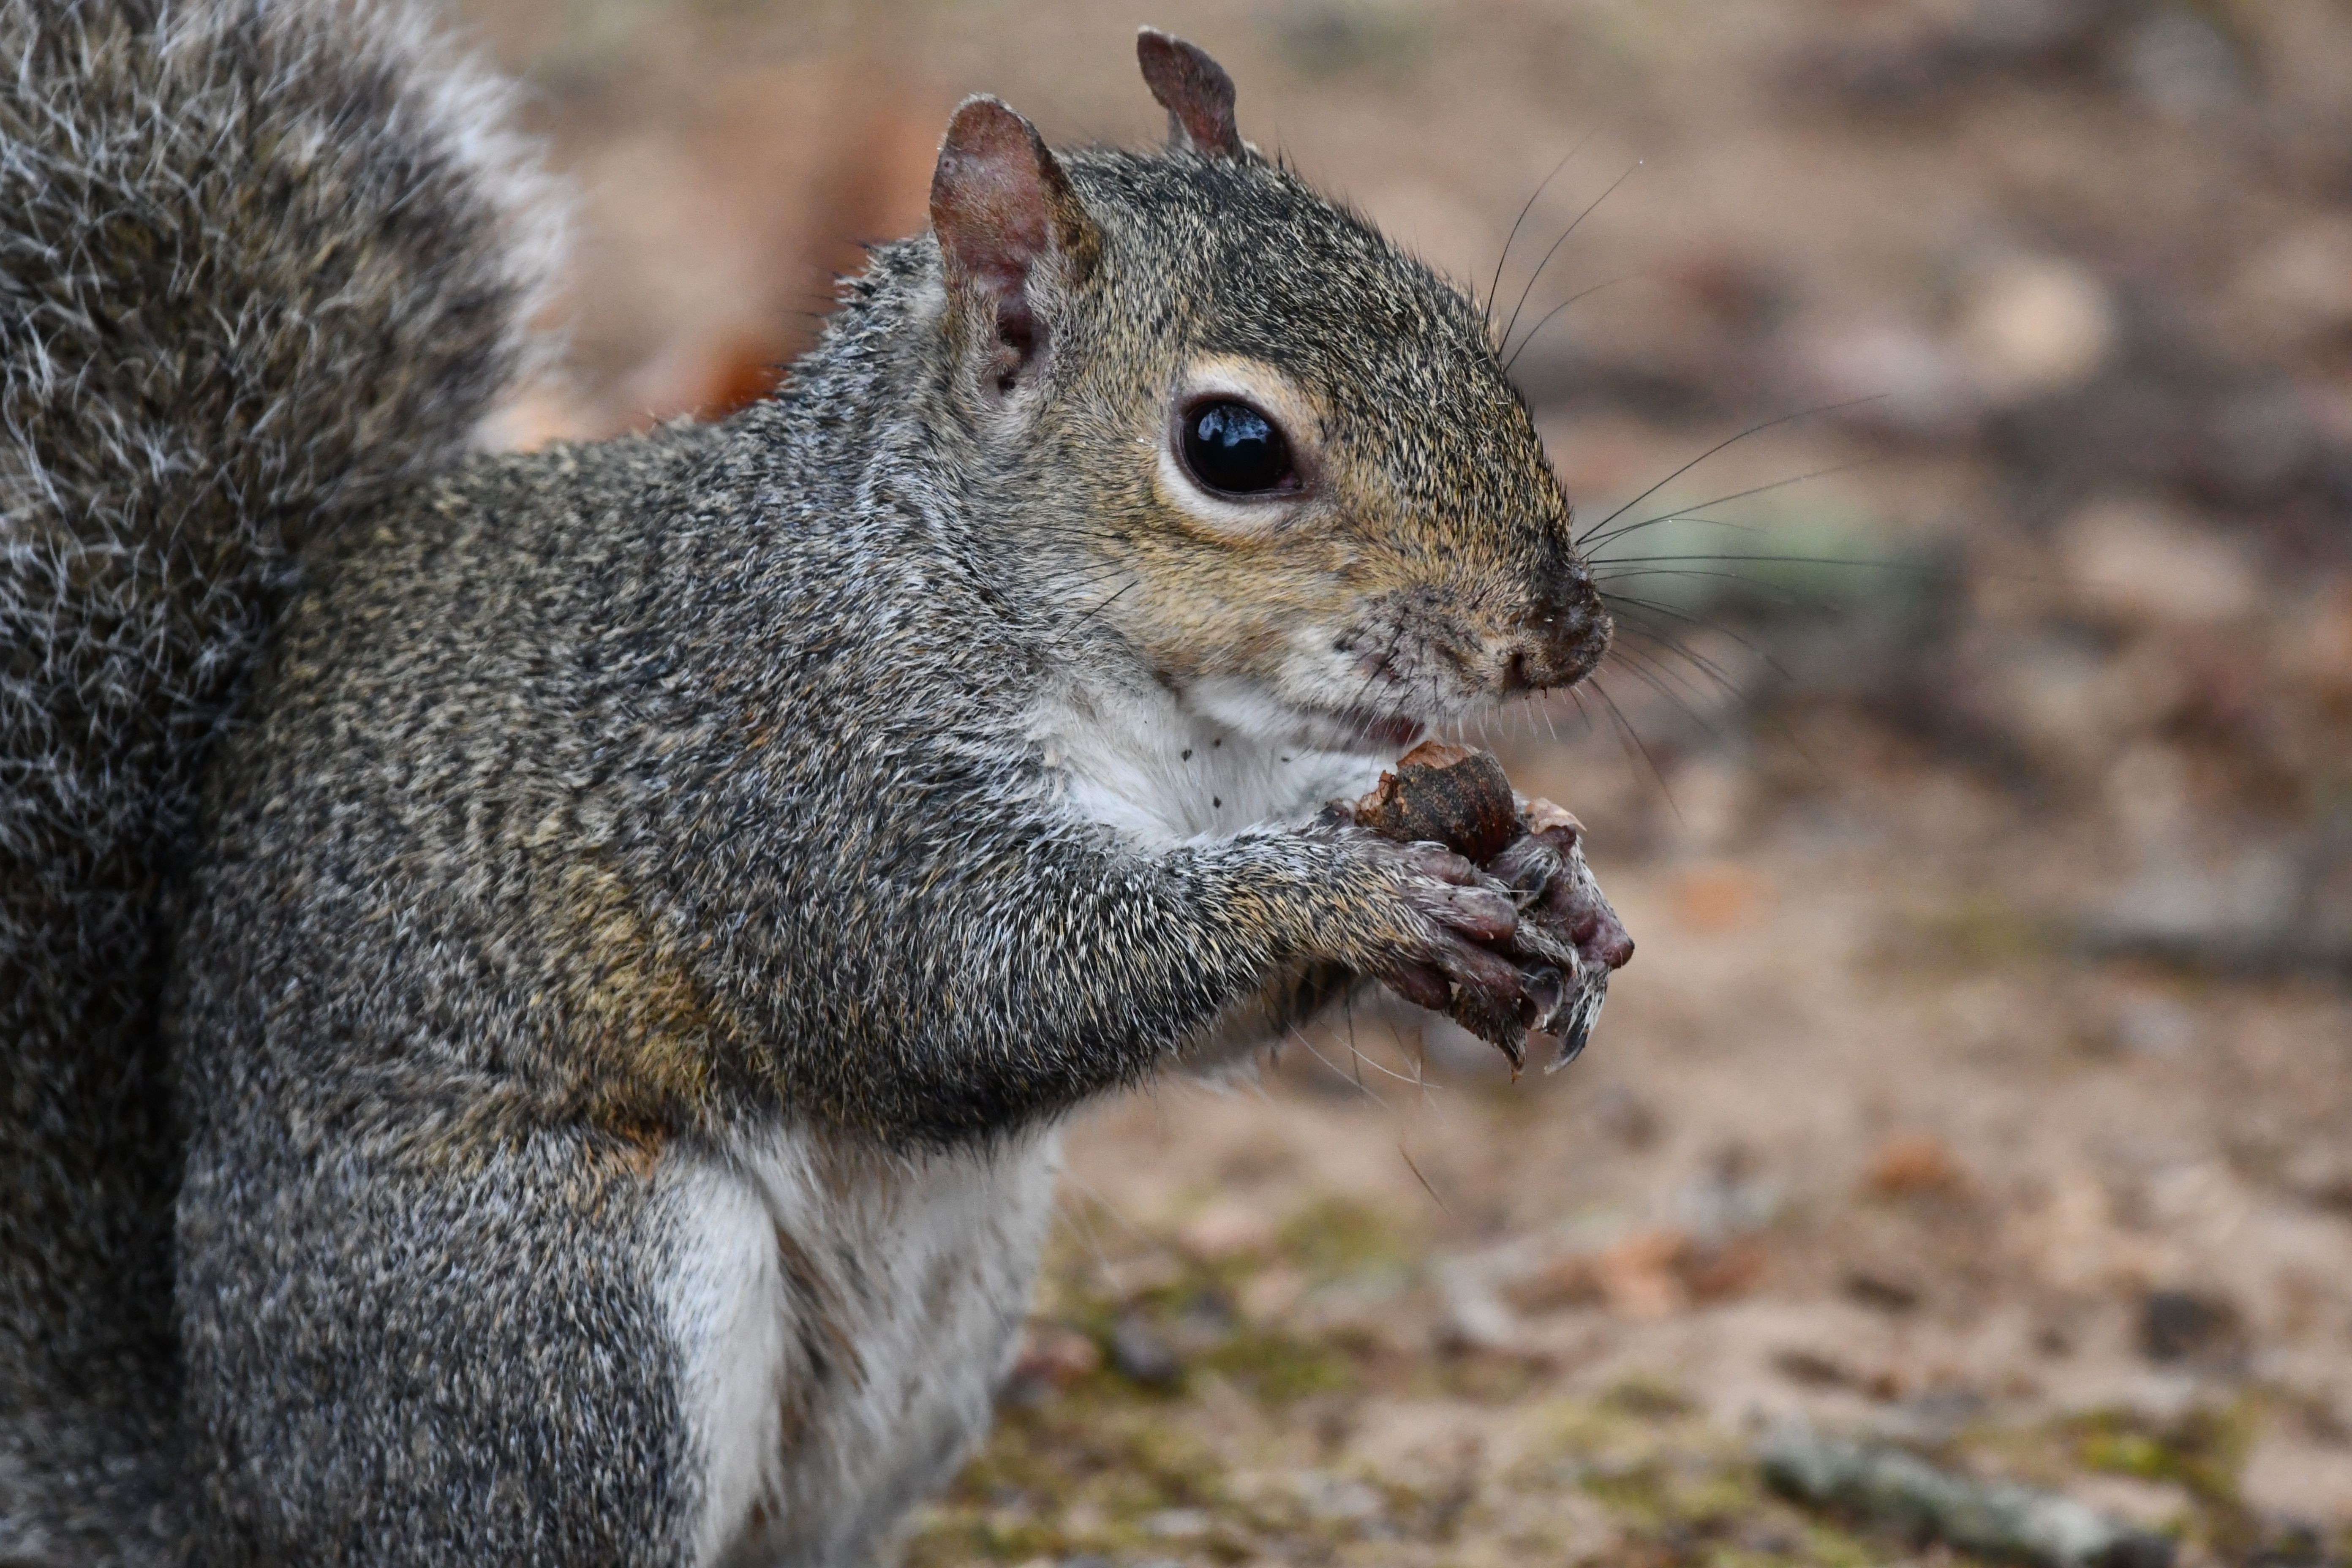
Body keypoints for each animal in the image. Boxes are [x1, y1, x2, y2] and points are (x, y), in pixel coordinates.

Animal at [0, 1, 1632, 1563]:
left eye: (1449, 316)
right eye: (1231, 446)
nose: (1557, 631)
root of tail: (236, 1504)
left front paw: (1544, 874)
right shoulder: (798, 780)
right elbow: (964, 975)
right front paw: (1345, 891)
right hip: (560, 1315)